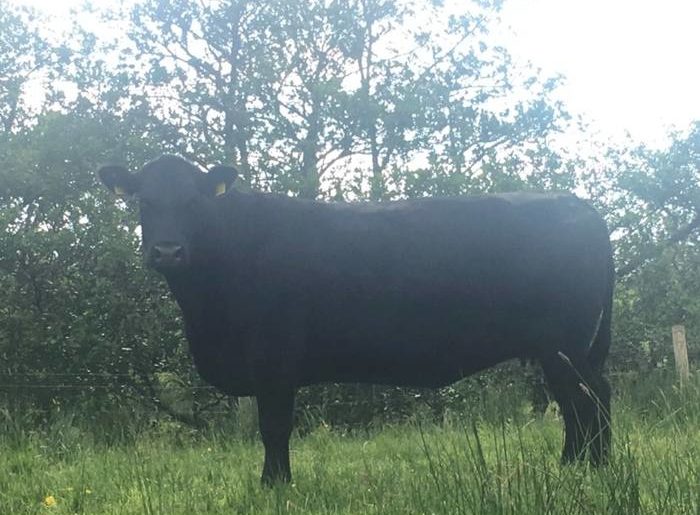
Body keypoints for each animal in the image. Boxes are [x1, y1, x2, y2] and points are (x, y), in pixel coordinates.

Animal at [98, 155, 614, 484]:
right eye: (143, 201)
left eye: (194, 202)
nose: (167, 251)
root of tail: (579, 205)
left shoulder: (274, 358)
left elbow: (273, 426)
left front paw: (274, 485)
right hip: (559, 349)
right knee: (581, 400)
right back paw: (577, 467)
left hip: (564, 342)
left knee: (588, 398)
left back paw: (594, 469)